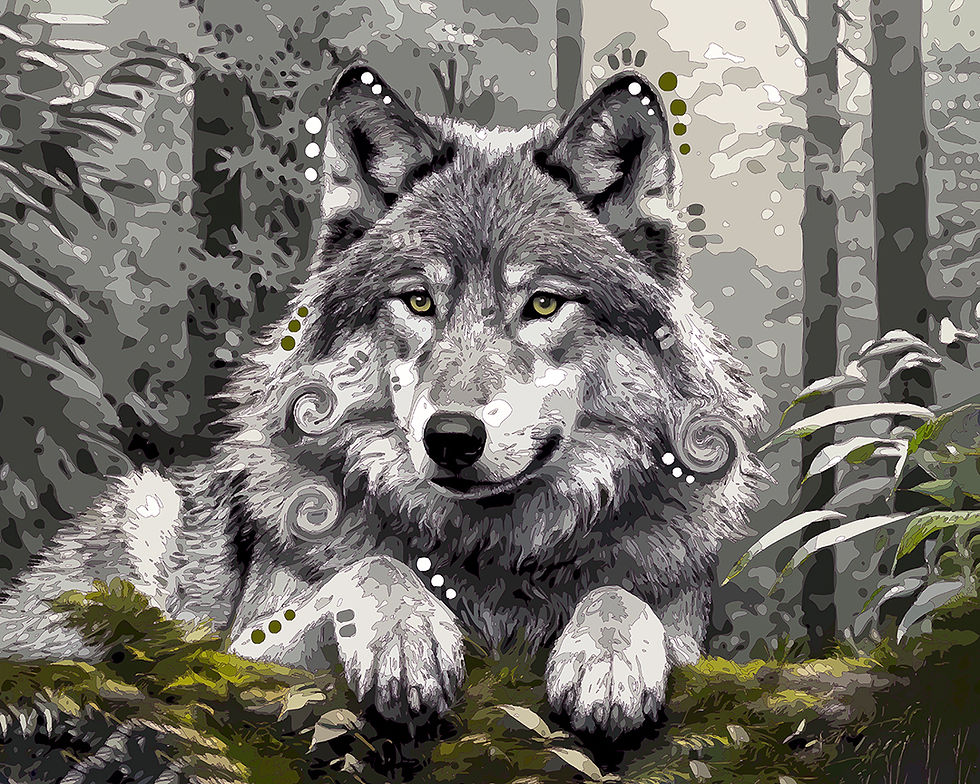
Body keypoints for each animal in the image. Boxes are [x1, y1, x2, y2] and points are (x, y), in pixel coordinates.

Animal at [0, 65, 767, 737]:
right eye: (419, 300)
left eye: (544, 304)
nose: (452, 436)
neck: (487, 562)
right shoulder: (243, 652)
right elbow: (372, 568)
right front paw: (409, 635)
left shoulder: (688, 638)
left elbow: (620, 594)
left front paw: (606, 663)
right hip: (145, 506)